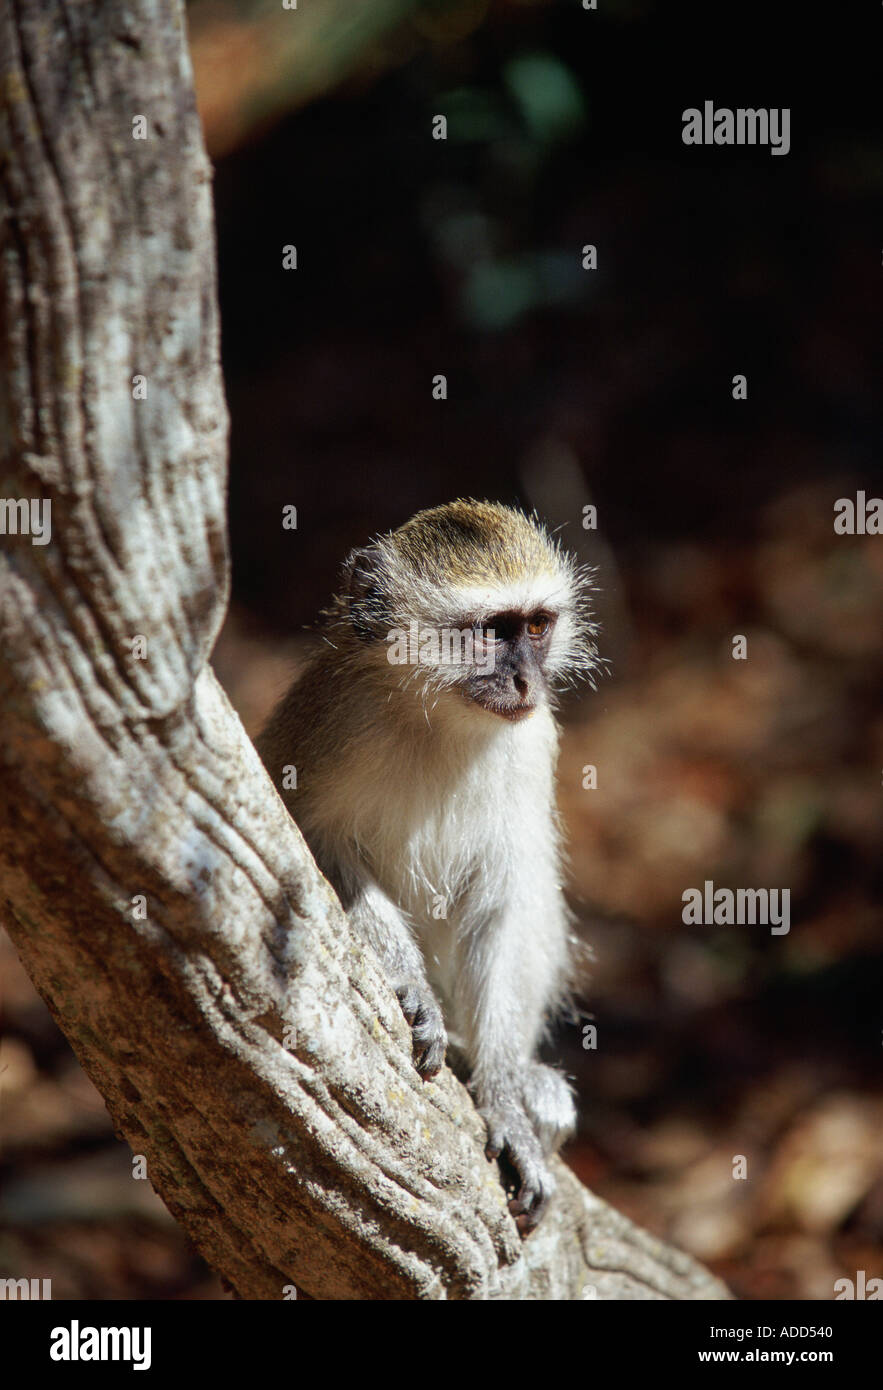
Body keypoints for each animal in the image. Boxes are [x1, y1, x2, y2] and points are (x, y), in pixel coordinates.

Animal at [256, 499, 600, 1231]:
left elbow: (504, 902)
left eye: (535, 626)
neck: (442, 717)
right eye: (491, 633)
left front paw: (504, 1094)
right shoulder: (334, 728)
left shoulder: (533, 738)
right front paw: (410, 984)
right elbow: (317, 845)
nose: (526, 680)